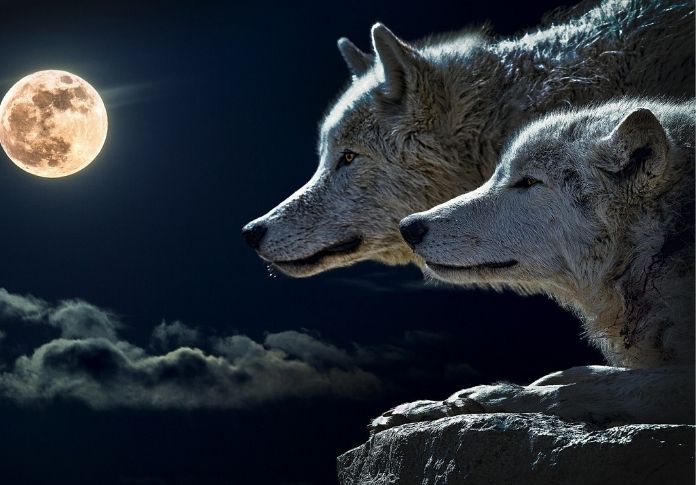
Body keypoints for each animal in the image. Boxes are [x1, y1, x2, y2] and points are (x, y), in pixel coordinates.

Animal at [372, 99, 695, 430]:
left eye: (528, 181)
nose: (408, 227)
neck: (661, 245)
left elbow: (579, 390)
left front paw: (480, 398)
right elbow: (582, 373)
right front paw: (430, 405)